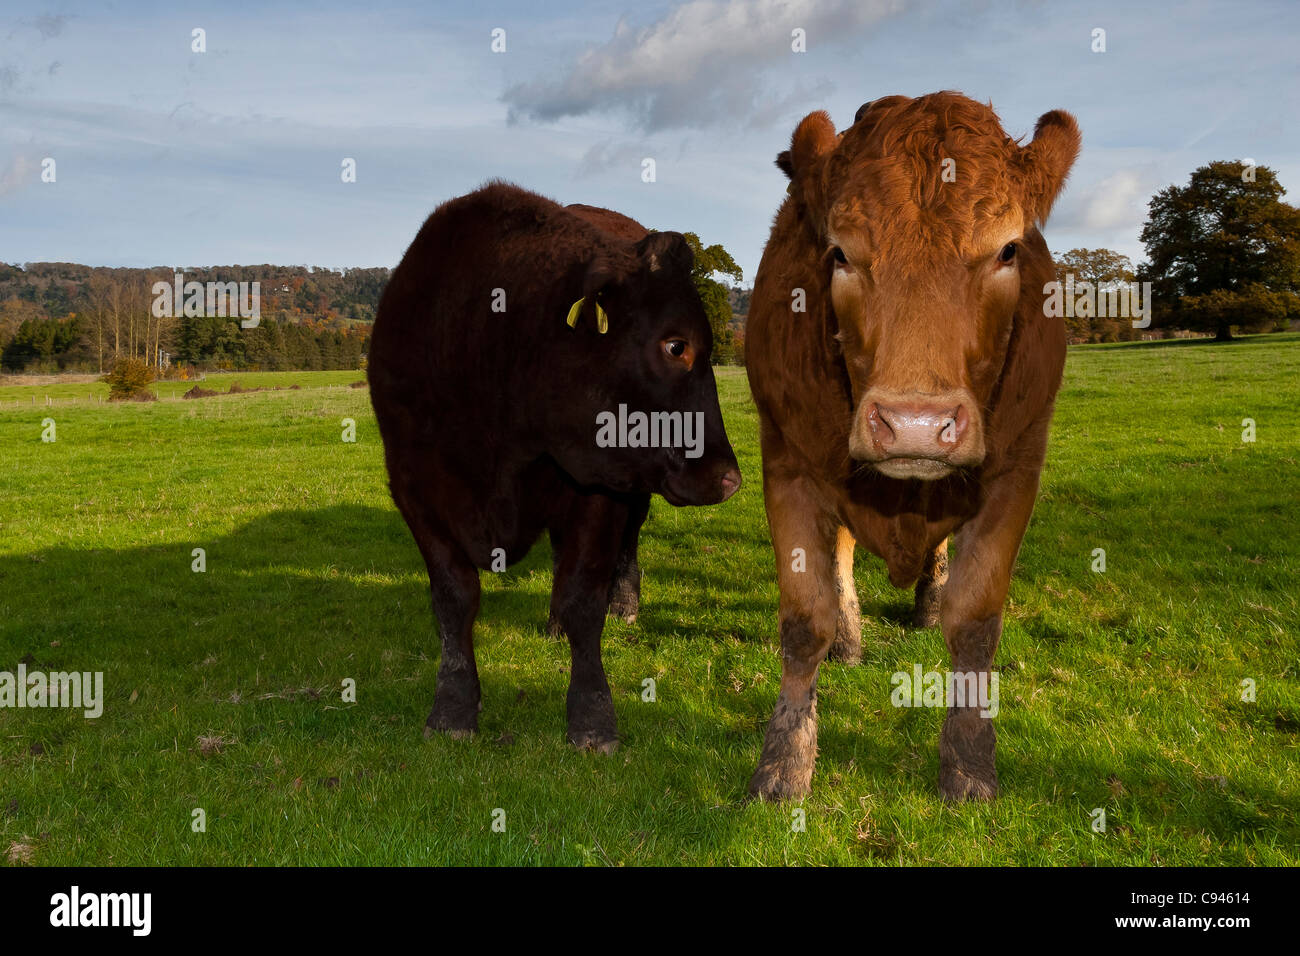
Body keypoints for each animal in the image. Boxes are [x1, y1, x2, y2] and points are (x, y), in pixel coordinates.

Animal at [368, 182, 741, 754]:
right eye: (676, 344)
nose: (729, 477)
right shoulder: (413, 486)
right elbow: (454, 599)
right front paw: (452, 709)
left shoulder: (600, 490)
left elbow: (585, 598)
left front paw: (592, 719)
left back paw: (623, 606)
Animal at [744, 92, 1080, 801]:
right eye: (841, 253)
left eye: (1008, 249)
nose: (917, 425)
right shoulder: (787, 465)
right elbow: (804, 620)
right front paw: (784, 764)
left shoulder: (1016, 470)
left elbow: (975, 623)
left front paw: (970, 766)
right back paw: (849, 637)